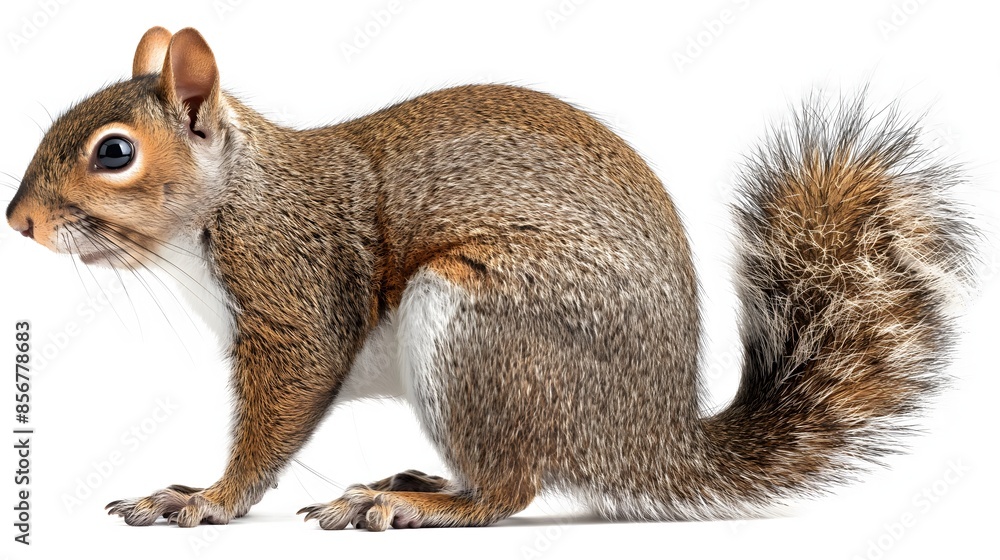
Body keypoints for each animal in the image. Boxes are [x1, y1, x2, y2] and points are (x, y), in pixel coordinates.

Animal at [6, 26, 976, 530]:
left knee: (512, 489)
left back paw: (416, 509)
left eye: (115, 153)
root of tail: (651, 439)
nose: (19, 221)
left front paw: (206, 499)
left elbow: (279, 414)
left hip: (481, 327)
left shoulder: (294, 291)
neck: (234, 194)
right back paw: (418, 484)